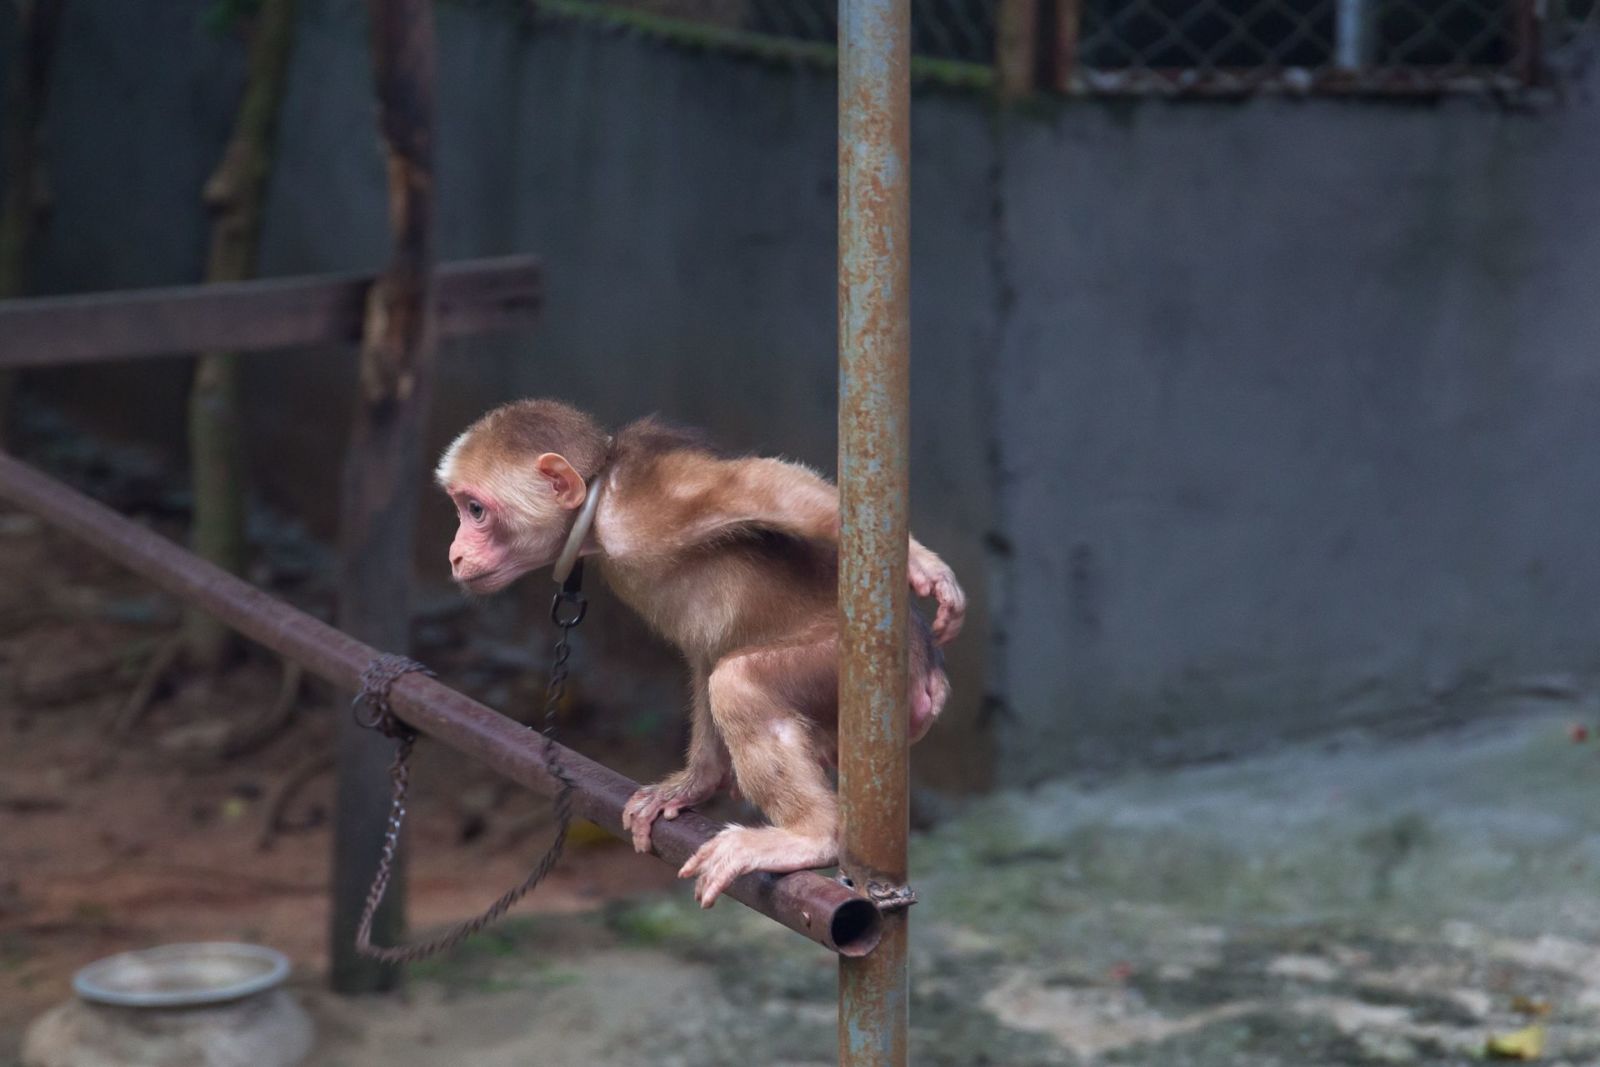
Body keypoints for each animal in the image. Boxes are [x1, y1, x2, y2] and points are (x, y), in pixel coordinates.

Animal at [436, 399, 965, 907]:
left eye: (475, 510)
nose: (454, 553)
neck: (594, 516)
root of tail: (927, 671)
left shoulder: (643, 509)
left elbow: (761, 486)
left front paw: (924, 565)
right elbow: (704, 653)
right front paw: (697, 783)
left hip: (858, 670)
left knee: (737, 682)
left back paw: (811, 837)